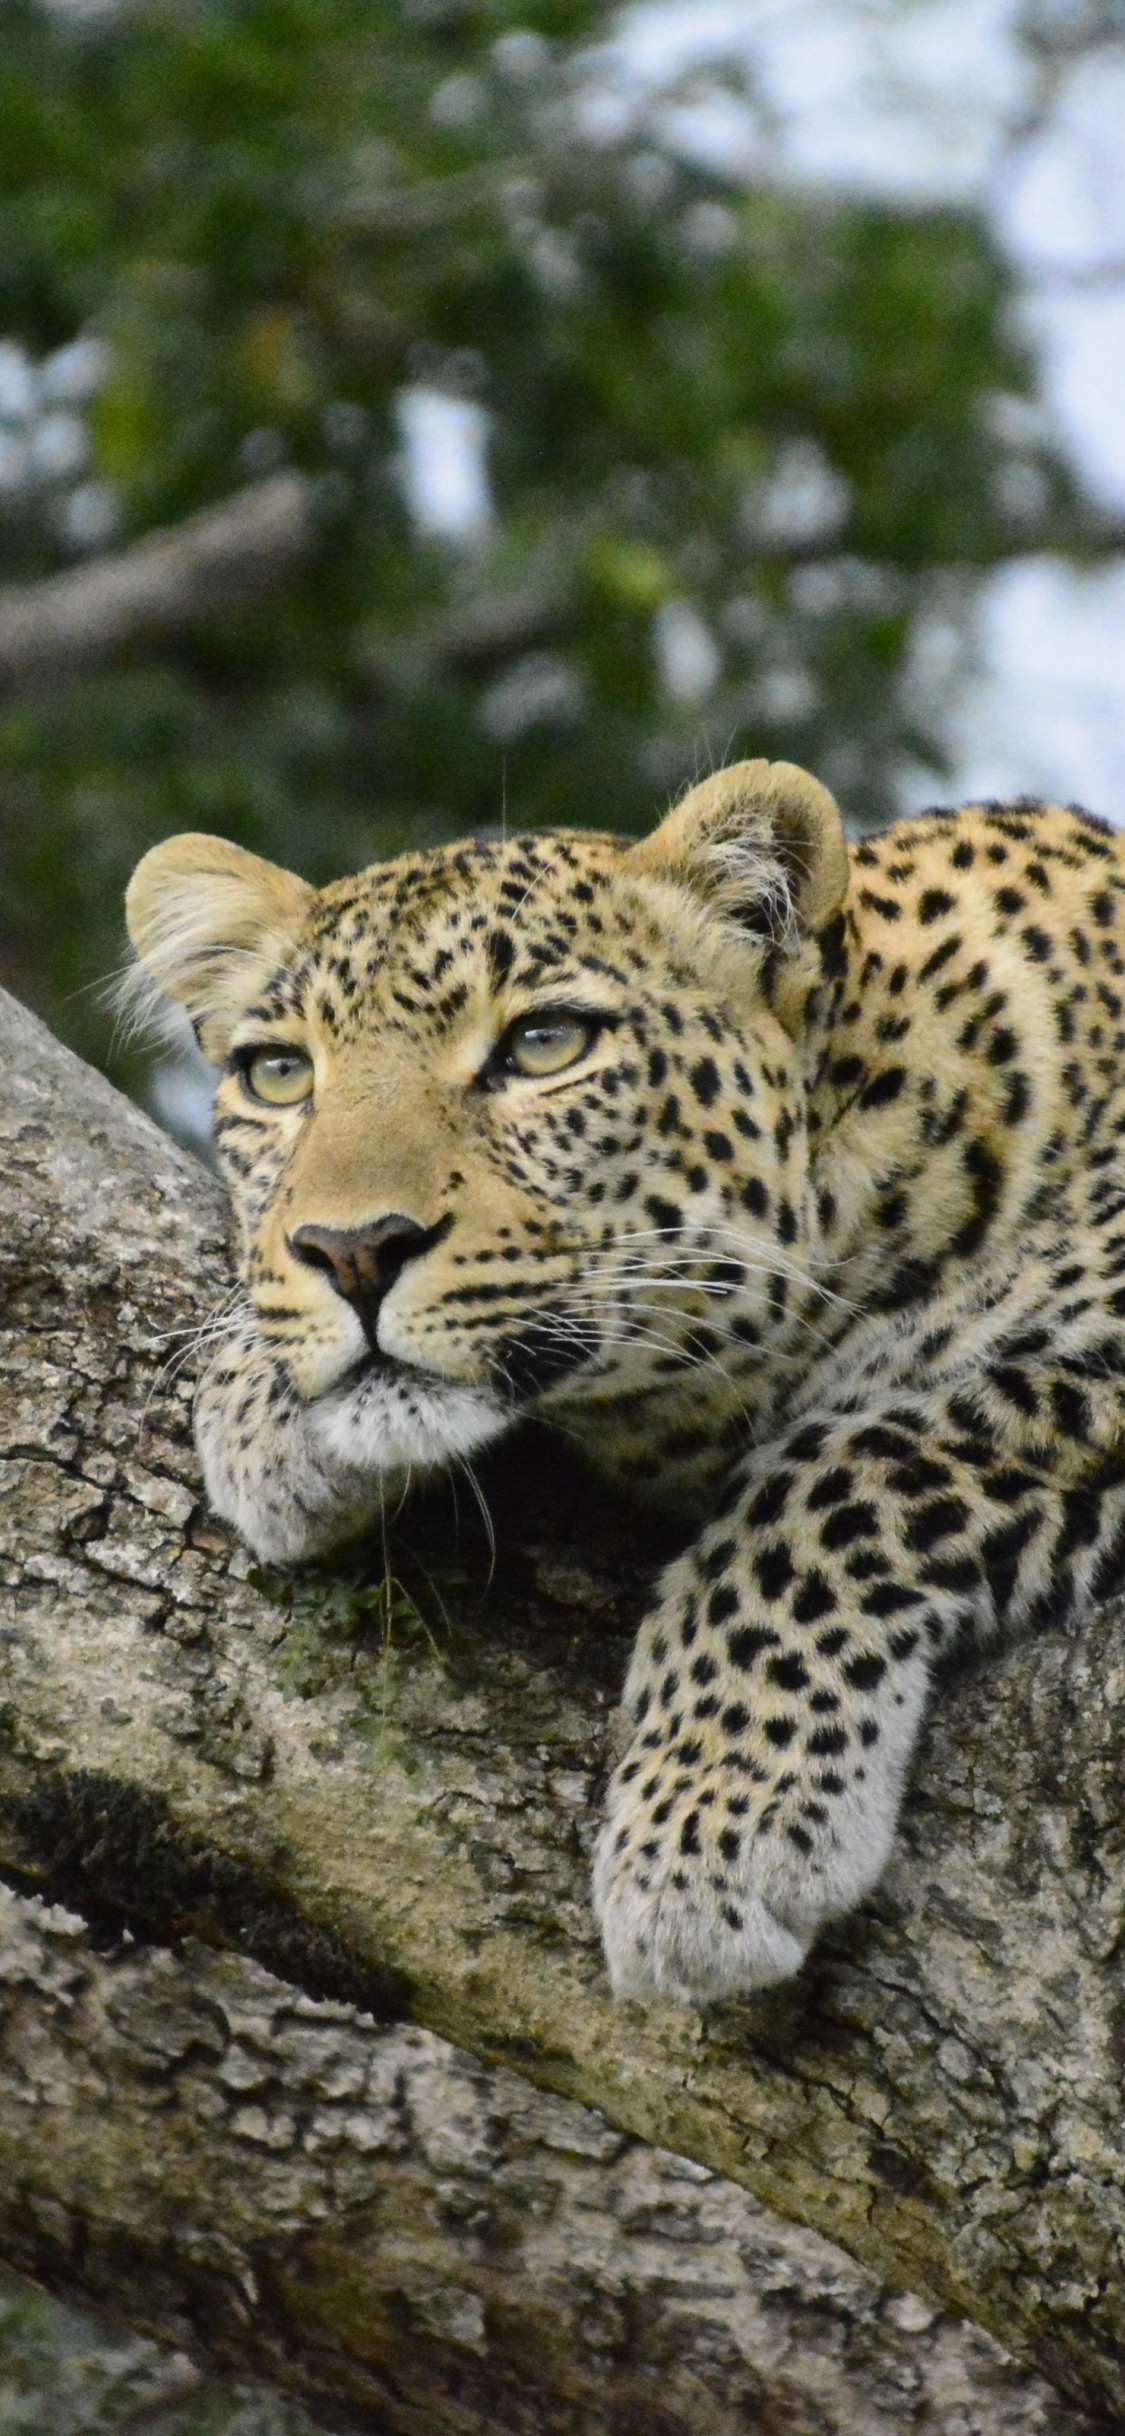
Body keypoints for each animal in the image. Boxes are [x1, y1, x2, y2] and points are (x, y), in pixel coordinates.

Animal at [125, 757, 1125, 2007]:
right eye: (278, 1074)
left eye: (545, 1043)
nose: (352, 1250)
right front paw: (265, 1404)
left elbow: (847, 1472)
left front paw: (712, 1833)